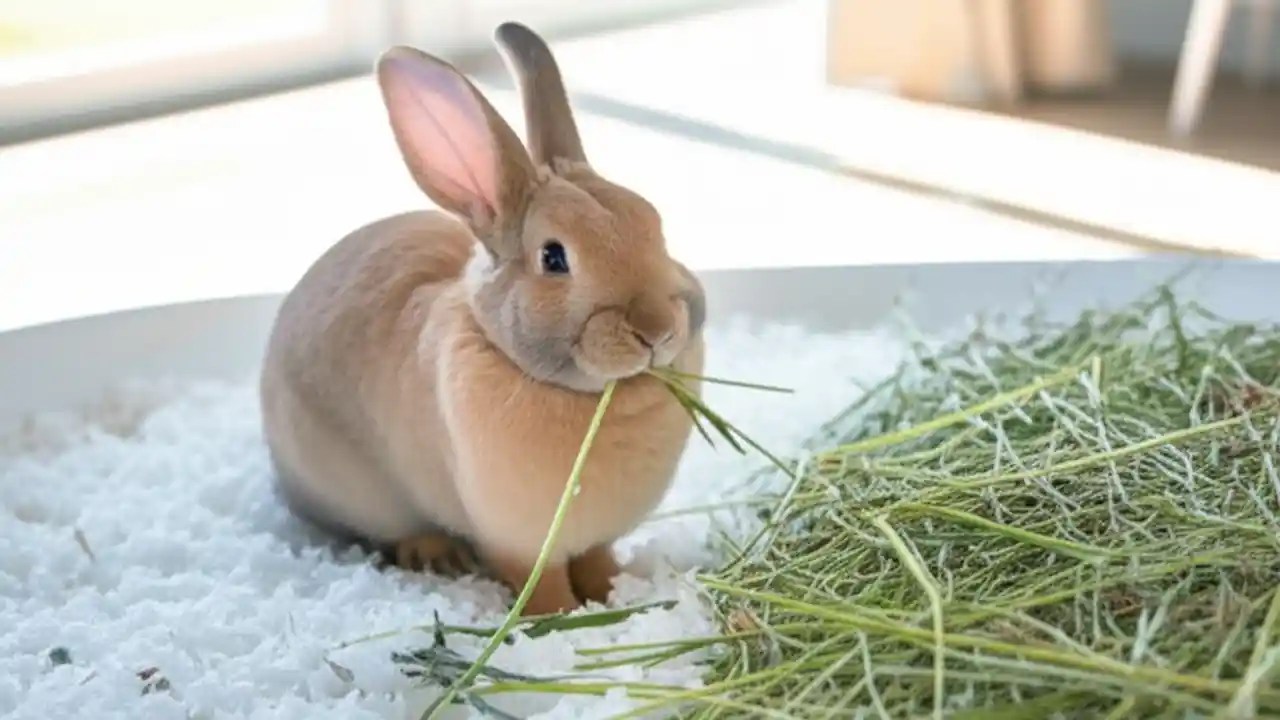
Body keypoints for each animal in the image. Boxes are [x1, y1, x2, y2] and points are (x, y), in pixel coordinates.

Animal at [259, 22, 706, 616]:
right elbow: (542, 584)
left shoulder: (595, 539)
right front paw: (561, 617)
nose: (656, 329)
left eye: (652, 221)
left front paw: (617, 595)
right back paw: (436, 553)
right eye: (554, 257)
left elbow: (598, 563)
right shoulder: (519, 542)